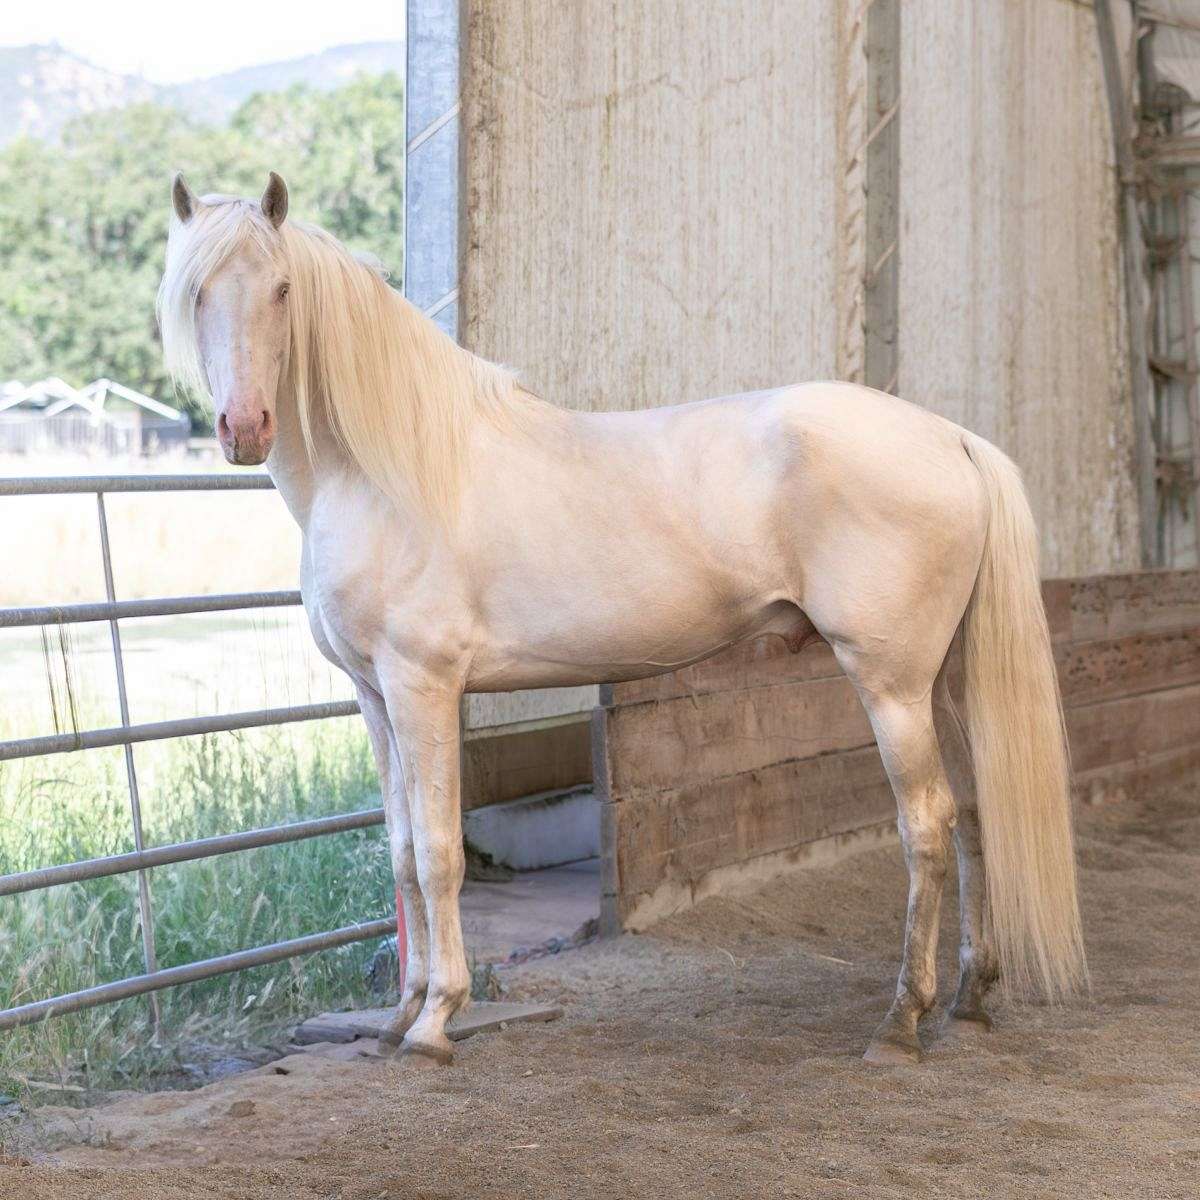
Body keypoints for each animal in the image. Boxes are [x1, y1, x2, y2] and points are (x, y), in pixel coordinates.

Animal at [158, 172, 1086, 1069]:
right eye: (197, 291)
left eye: (282, 289)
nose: (245, 427)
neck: (385, 469)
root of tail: (953, 439)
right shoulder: (373, 696)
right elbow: (401, 854)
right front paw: (398, 1017)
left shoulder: (423, 687)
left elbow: (439, 854)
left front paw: (436, 1022)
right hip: (944, 682)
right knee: (972, 815)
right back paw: (969, 997)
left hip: (891, 684)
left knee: (926, 826)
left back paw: (900, 1021)